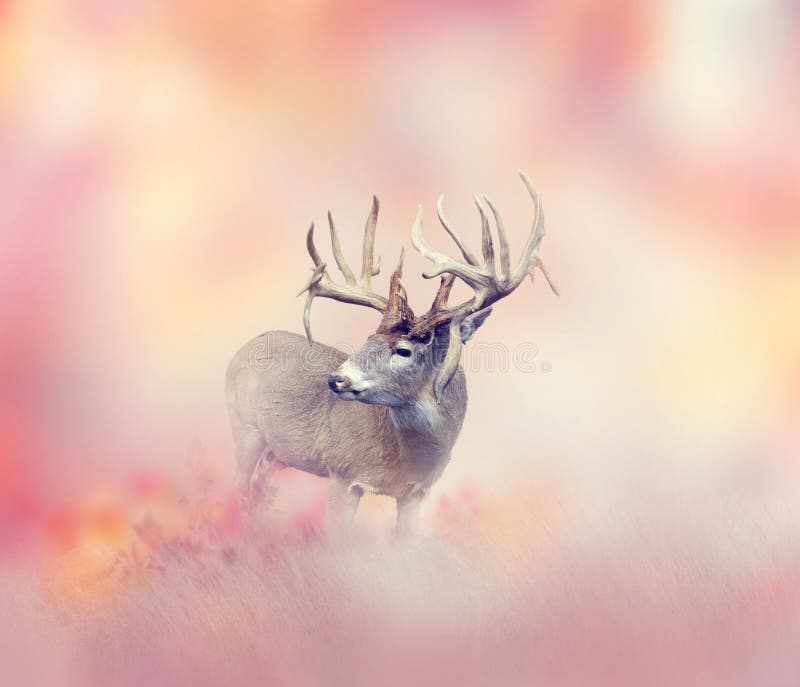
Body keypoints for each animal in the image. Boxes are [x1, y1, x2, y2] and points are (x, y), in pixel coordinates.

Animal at [225, 171, 557, 534]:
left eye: (403, 350)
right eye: (369, 338)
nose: (336, 379)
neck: (406, 458)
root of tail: (246, 345)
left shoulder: (417, 493)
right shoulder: (340, 473)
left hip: (278, 453)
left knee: (260, 487)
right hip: (244, 428)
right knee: (241, 488)